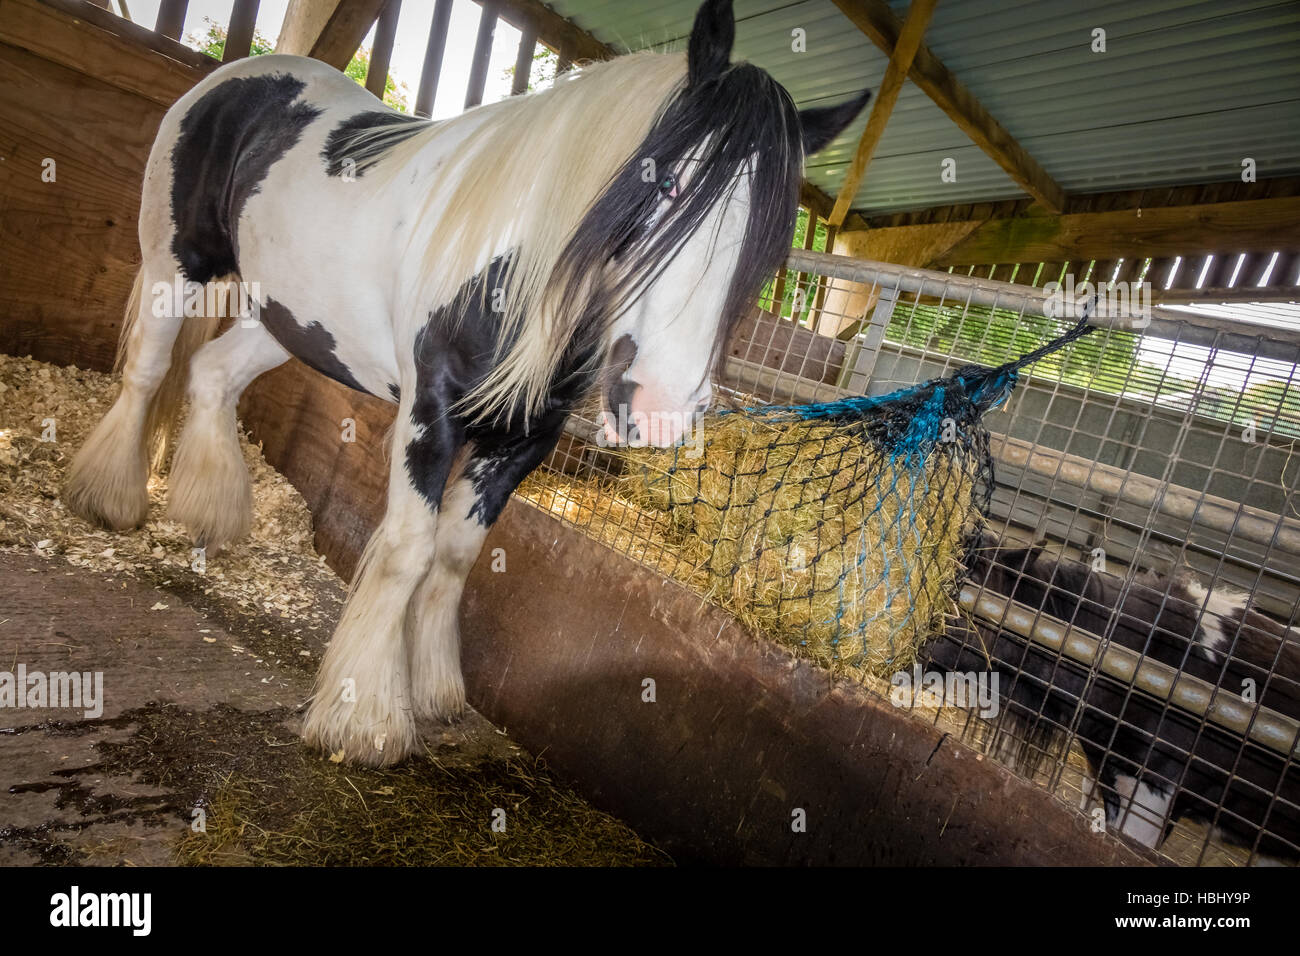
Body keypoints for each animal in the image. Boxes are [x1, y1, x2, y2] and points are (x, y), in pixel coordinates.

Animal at [62, 0, 870, 766]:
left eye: (770, 248)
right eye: (668, 182)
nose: (665, 408)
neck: (517, 275)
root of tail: (233, 77)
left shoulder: (523, 442)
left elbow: (456, 555)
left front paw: (434, 686)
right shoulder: (433, 415)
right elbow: (409, 549)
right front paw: (365, 719)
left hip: (285, 319)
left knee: (210, 377)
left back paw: (209, 512)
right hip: (174, 266)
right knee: (148, 373)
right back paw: (109, 499)